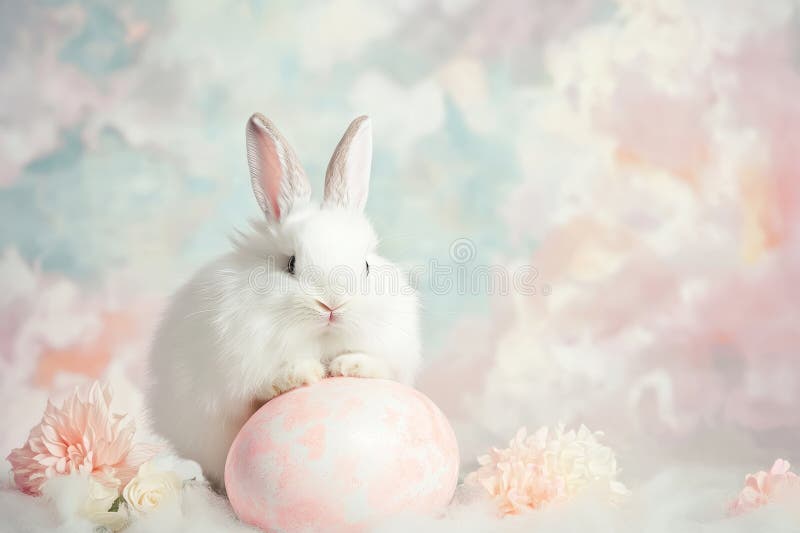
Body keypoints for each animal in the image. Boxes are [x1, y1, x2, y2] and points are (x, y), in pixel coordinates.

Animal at [147, 113, 421, 490]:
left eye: (365, 266)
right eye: (290, 263)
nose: (331, 305)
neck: (319, 338)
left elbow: (379, 367)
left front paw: (348, 366)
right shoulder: (236, 382)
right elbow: (260, 389)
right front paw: (303, 373)